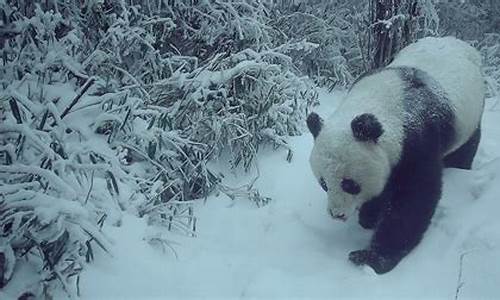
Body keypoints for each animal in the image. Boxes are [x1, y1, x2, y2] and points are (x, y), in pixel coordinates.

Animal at [306, 37, 486, 274]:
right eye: (324, 184)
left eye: (350, 184)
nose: (337, 215)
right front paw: (369, 217)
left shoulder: (419, 138)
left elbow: (414, 198)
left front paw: (370, 258)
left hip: (471, 114)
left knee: (466, 146)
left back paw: (459, 166)